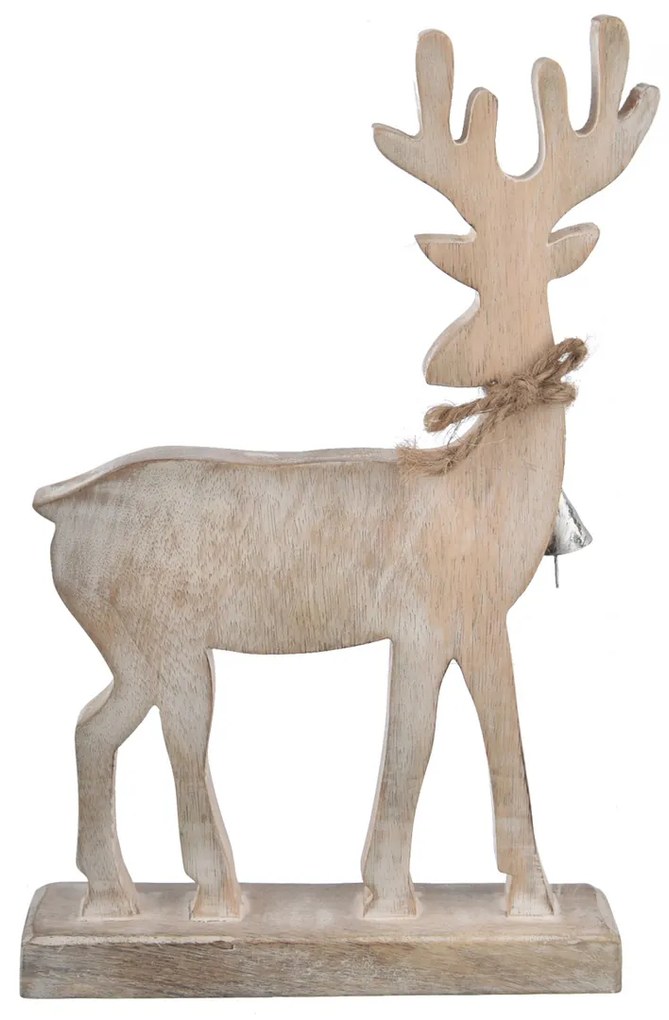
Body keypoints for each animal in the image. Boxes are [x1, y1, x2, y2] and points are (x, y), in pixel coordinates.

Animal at [33, 16, 657, 922]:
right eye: (474, 277)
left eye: (534, 276)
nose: (446, 358)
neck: (475, 490)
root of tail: (57, 505)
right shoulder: (423, 617)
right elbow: (413, 744)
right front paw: (389, 896)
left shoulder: (480, 620)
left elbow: (508, 739)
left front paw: (531, 899)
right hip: (162, 634)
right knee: (171, 743)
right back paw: (211, 899)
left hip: (130, 645)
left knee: (90, 726)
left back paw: (116, 899)